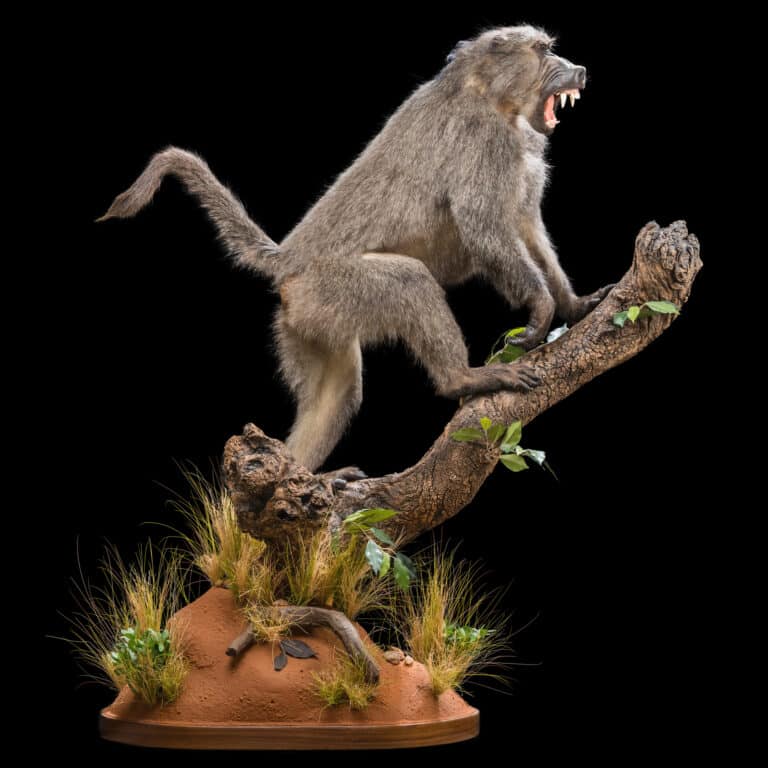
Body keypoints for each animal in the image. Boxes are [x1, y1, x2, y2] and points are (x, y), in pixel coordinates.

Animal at [98, 25, 613, 475]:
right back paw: (462, 380)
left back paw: (305, 481)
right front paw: (541, 309)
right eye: (544, 50)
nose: (580, 70)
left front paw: (573, 305)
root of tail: (289, 259)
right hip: (328, 287)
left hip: (308, 316)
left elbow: (527, 227)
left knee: (338, 388)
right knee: (409, 279)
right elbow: (485, 228)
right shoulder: (484, 142)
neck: (484, 93)